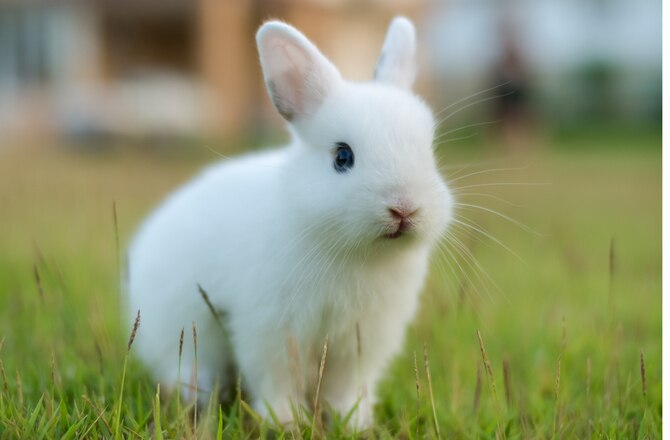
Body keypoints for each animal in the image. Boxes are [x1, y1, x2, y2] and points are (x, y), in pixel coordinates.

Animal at [126, 16, 452, 430]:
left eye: (430, 152)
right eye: (343, 157)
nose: (404, 208)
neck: (354, 253)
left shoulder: (361, 340)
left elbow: (346, 387)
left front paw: (354, 422)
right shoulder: (271, 329)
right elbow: (276, 378)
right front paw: (283, 421)